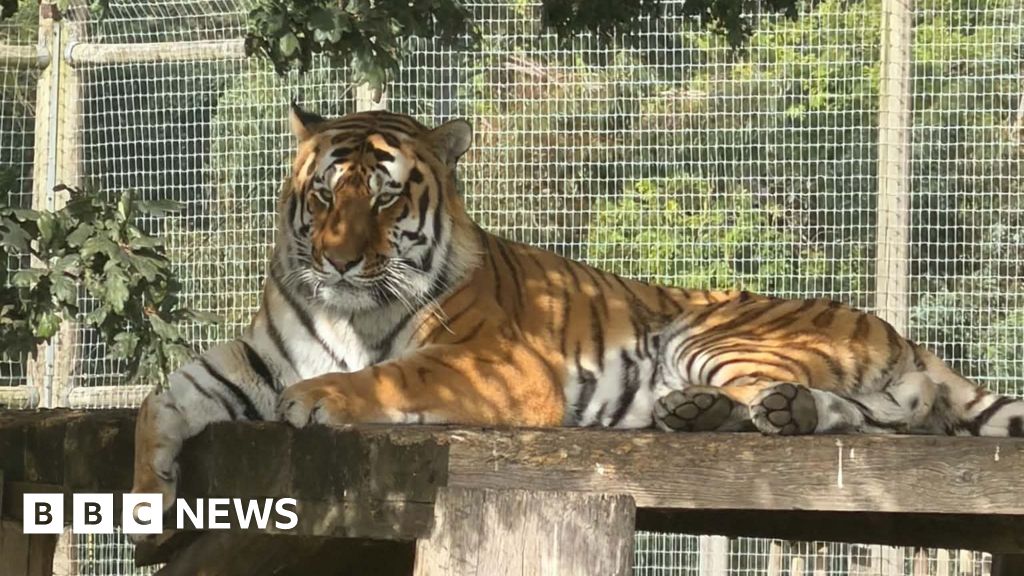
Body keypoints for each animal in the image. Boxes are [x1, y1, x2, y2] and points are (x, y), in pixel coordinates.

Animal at [132, 105, 1024, 515]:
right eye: (323, 195)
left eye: (385, 199)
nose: (340, 259)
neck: (347, 311)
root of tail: (898, 330)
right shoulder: (248, 358)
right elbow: (161, 402)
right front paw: (148, 512)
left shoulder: (501, 367)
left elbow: (390, 376)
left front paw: (319, 398)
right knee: (880, 418)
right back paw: (711, 414)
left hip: (710, 333)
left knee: (857, 414)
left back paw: (740, 411)